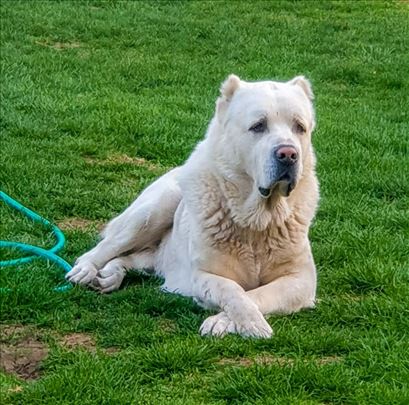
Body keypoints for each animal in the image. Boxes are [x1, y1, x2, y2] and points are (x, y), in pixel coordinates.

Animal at [66, 75, 318, 338]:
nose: (288, 154)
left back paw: (110, 277)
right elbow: (232, 290)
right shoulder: (204, 275)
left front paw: (226, 321)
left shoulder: (301, 281)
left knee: (128, 258)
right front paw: (250, 322)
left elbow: (258, 295)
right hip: (156, 209)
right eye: (258, 126)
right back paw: (85, 270)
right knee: (105, 248)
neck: (257, 220)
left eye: (299, 127)